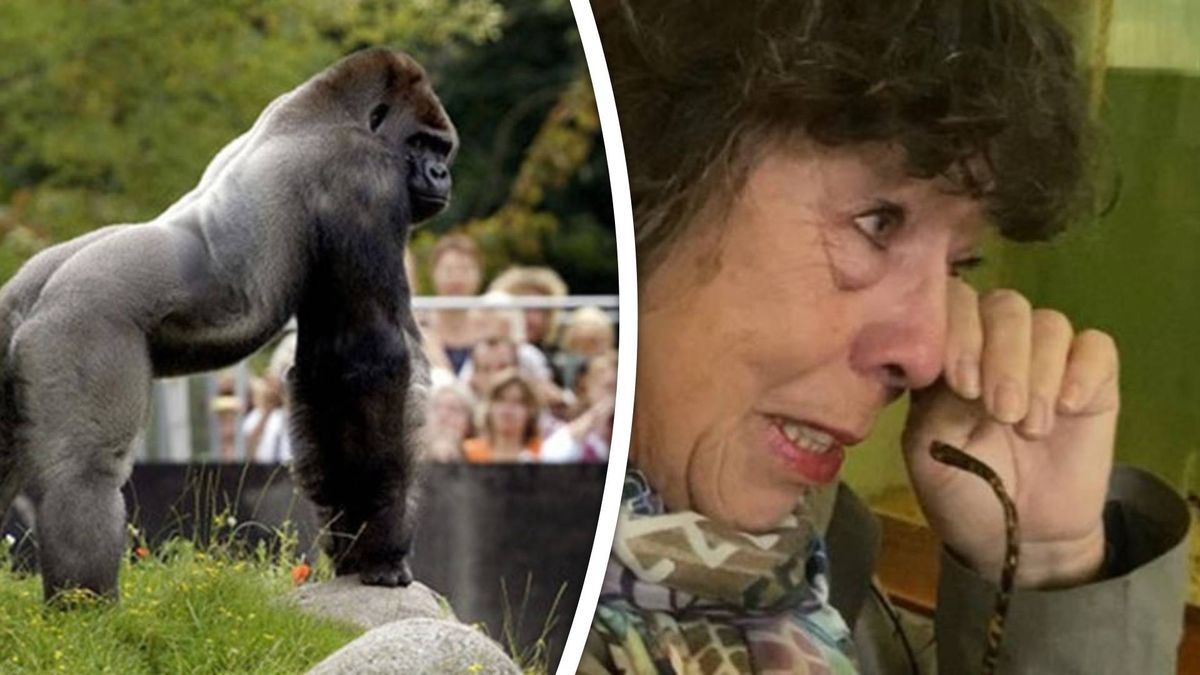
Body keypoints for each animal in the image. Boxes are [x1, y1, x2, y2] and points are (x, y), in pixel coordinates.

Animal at [0, 47, 456, 600]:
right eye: (419, 143)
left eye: (442, 148)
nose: (440, 173)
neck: (329, 109)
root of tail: (33, 296)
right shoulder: (363, 179)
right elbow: (367, 360)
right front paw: (381, 549)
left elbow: (328, 366)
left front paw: (352, 545)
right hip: (75, 329)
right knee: (84, 472)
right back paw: (86, 609)